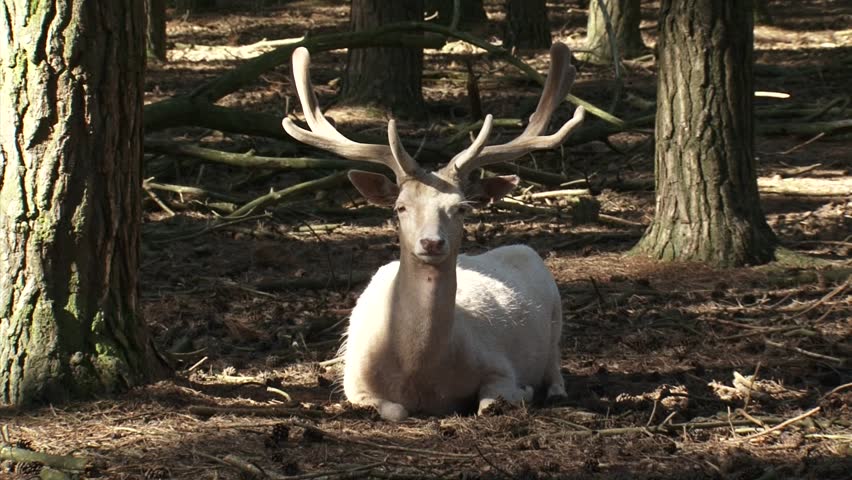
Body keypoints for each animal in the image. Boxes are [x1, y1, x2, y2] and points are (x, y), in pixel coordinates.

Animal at [282, 44, 585, 421]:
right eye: (400, 207)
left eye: (461, 207)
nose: (431, 242)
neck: (421, 374)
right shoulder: (353, 381)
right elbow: (395, 411)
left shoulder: (498, 364)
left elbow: (490, 402)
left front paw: (524, 391)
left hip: (556, 315)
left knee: (556, 362)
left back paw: (554, 390)